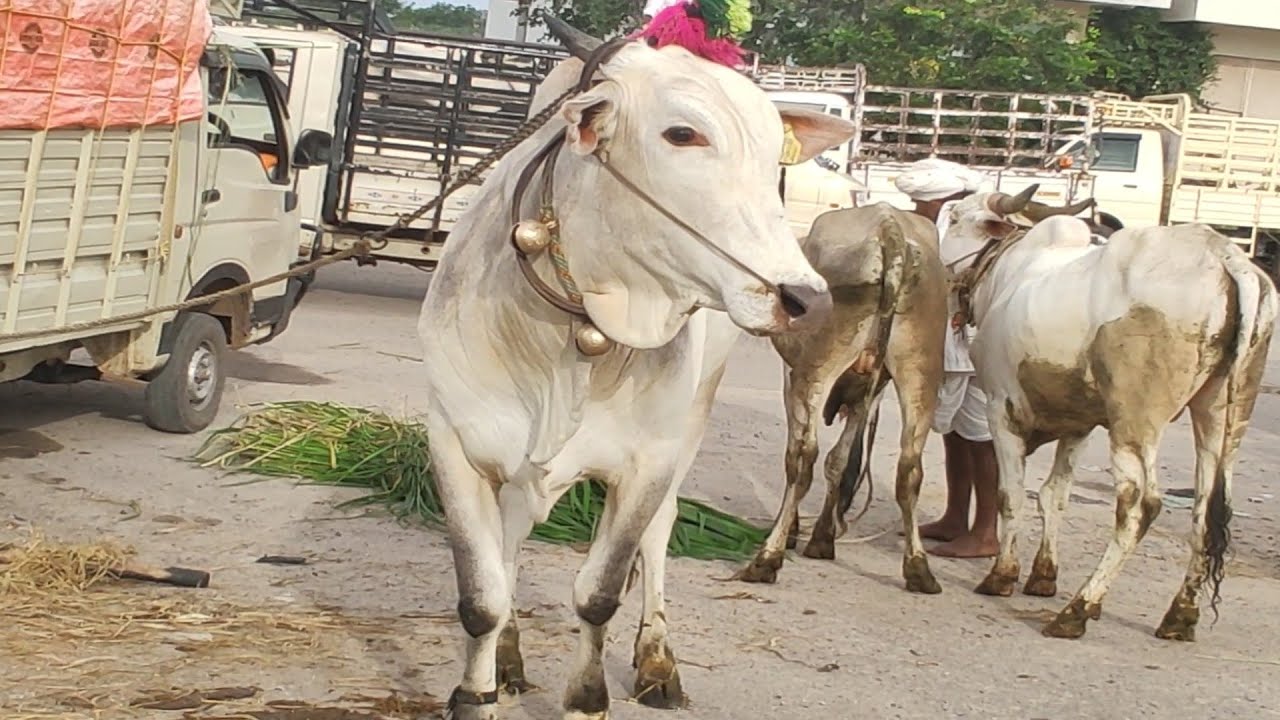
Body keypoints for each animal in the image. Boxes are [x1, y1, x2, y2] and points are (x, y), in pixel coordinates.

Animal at [415, 17, 858, 720]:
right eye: (682, 133)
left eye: (775, 160)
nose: (805, 299)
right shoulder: (455, 442)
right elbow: (483, 595)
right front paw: (476, 689)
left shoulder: (647, 460)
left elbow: (600, 592)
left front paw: (588, 695)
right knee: (512, 544)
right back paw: (510, 658)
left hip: (693, 421)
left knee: (660, 532)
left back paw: (656, 661)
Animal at [733, 202, 950, 593]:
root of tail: (890, 233)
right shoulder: (870, 393)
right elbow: (840, 460)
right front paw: (822, 537)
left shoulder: (791, 376)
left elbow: (801, 454)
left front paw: (792, 533)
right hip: (921, 373)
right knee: (909, 468)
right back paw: (918, 568)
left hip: (816, 371)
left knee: (803, 458)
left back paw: (767, 558)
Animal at [942, 188, 1277, 640]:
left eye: (955, 218)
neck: (1007, 272)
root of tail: (1226, 256)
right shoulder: (1079, 425)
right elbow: (1054, 495)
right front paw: (1043, 575)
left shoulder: (1002, 409)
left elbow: (1010, 495)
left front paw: (1003, 575)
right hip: (1222, 412)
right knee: (1206, 510)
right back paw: (1180, 615)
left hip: (1134, 421)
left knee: (1139, 507)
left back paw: (1079, 609)